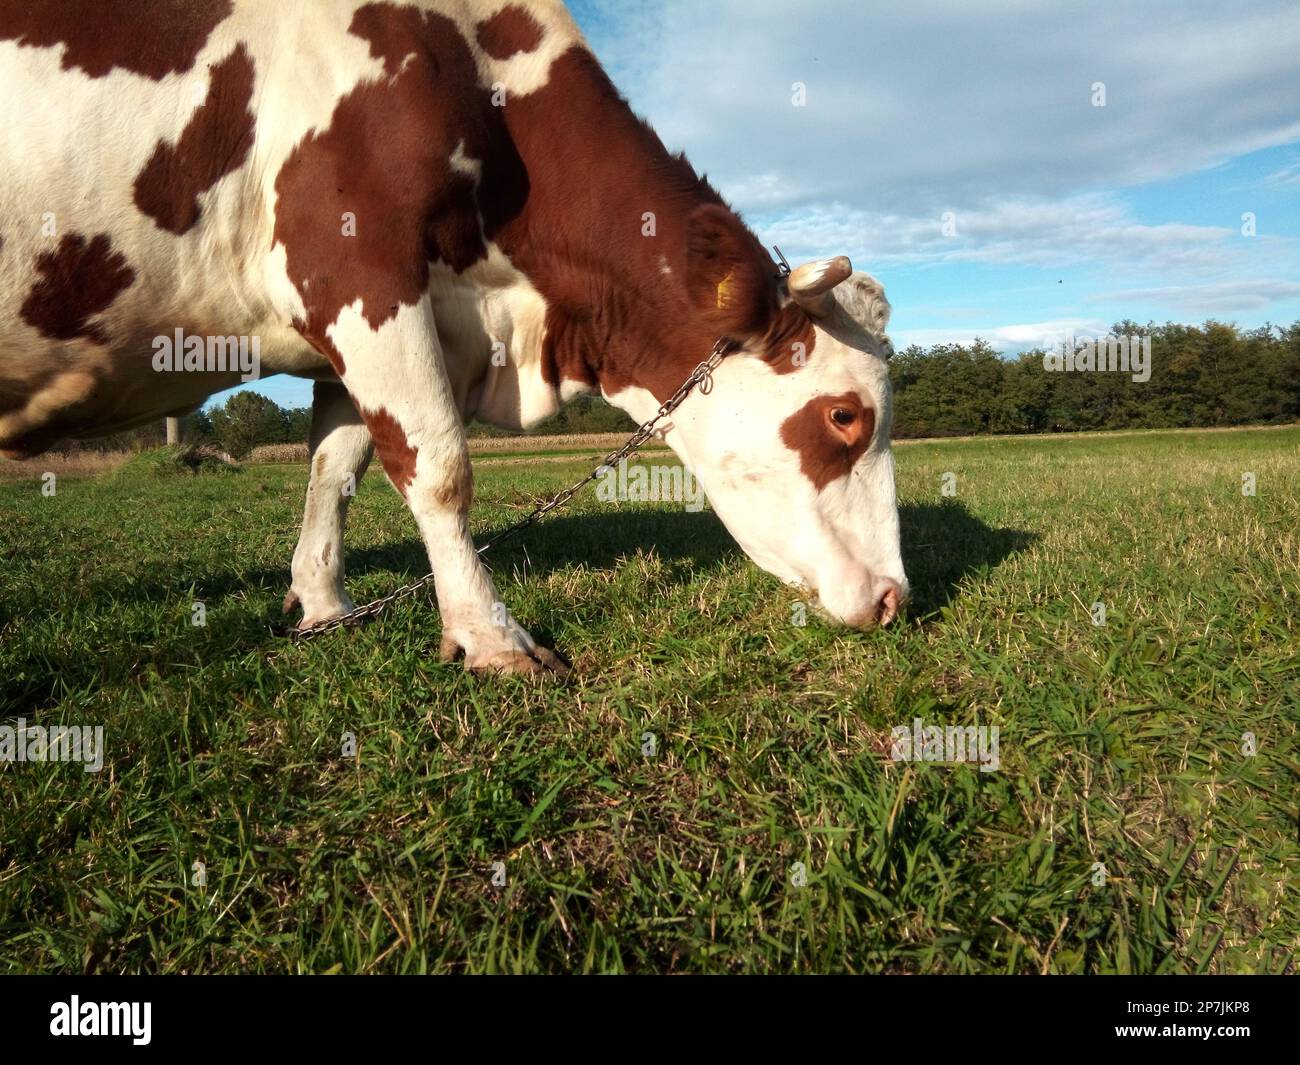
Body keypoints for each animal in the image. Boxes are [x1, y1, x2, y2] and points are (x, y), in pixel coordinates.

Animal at [0, 0, 908, 677]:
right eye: (844, 417)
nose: (896, 597)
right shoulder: (360, 273)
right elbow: (437, 468)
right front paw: (491, 635)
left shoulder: (363, 321)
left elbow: (336, 468)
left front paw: (323, 604)